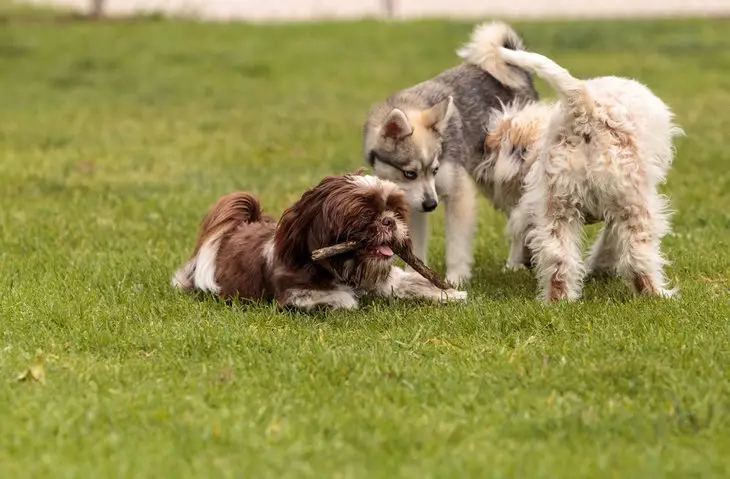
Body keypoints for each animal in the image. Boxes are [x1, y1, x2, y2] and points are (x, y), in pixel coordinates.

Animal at [172, 172, 466, 312]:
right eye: (365, 215)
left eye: (394, 210)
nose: (389, 222)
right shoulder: (295, 293)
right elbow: (337, 297)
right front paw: (348, 300)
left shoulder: (385, 279)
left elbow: (413, 282)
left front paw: (449, 293)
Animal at [362, 21, 536, 284]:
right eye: (410, 174)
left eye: (435, 169)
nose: (431, 204)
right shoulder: (413, 205)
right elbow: (415, 247)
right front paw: (416, 277)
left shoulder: (458, 195)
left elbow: (456, 245)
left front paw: (456, 279)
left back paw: (514, 264)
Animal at [474, 45, 680, 302]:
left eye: (493, 147)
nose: (480, 164)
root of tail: (584, 111)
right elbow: (610, 242)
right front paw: (601, 267)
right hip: (634, 206)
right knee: (638, 257)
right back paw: (657, 295)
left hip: (558, 210)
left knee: (557, 257)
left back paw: (559, 300)